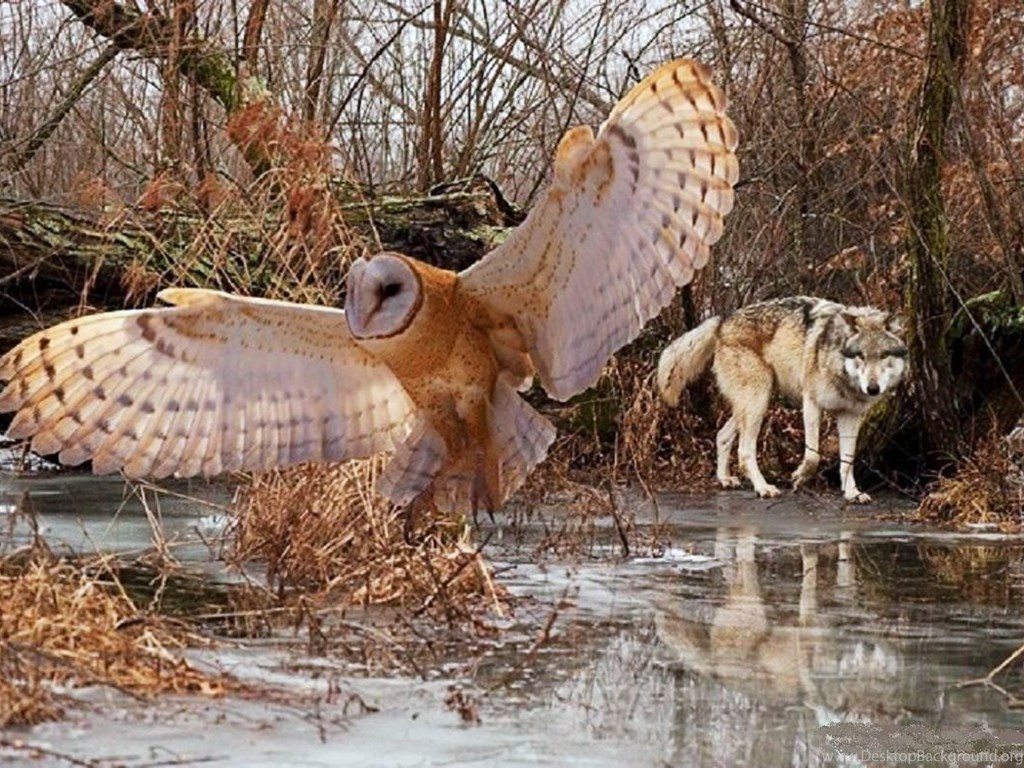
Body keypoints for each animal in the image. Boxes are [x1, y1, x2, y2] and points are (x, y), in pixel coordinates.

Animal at [657, 297, 907, 503]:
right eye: (860, 356)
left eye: (884, 355)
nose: (873, 388)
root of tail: (722, 320)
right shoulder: (811, 403)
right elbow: (813, 455)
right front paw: (799, 477)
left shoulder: (851, 415)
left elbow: (848, 459)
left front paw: (852, 492)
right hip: (757, 401)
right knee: (744, 452)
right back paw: (763, 488)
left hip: (752, 403)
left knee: (722, 436)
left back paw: (725, 478)